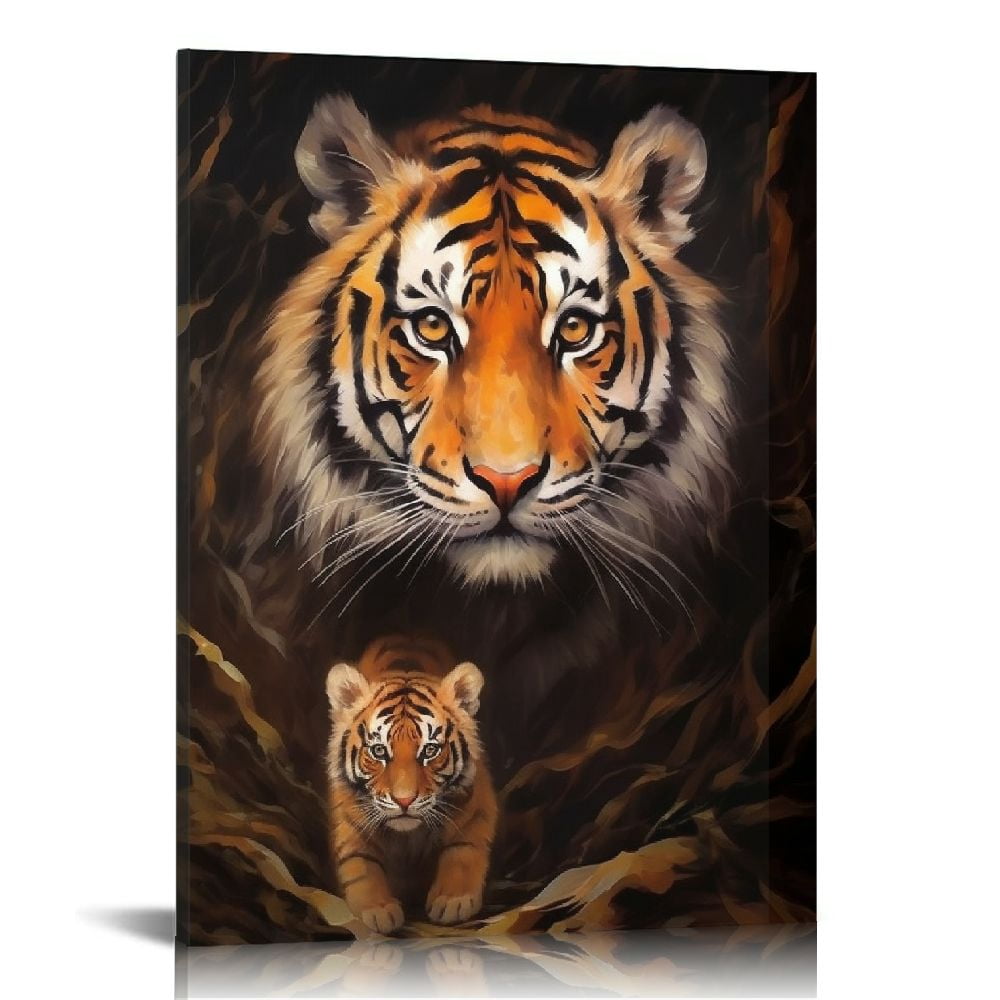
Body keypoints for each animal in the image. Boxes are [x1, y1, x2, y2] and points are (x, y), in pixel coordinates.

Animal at [325, 635, 497, 933]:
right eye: (379, 751)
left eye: (430, 750)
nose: (404, 801)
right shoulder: (349, 824)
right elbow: (362, 868)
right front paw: (378, 909)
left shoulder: (476, 808)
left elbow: (463, 851)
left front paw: (453, 900)